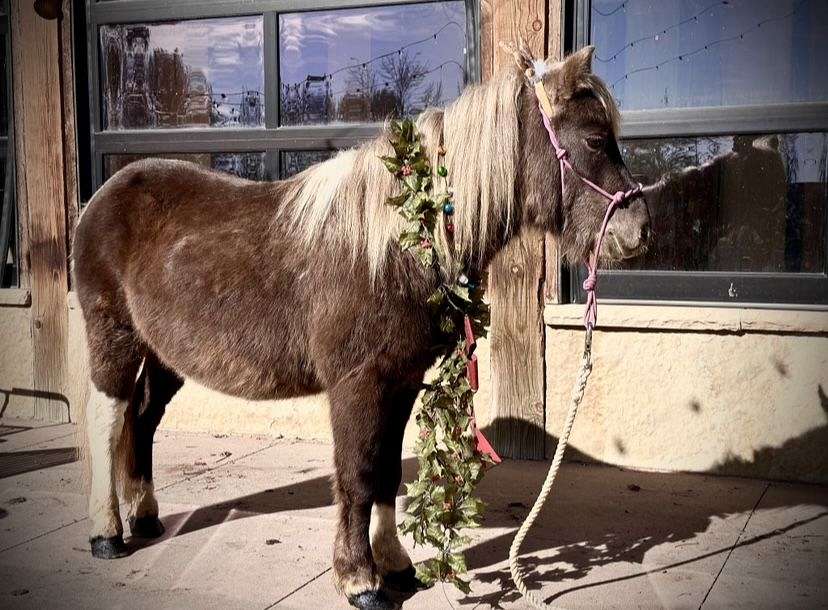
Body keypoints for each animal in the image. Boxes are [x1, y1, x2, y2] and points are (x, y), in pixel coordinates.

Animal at [73, 44, 650, 610]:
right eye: (595, 138)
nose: (640, 231)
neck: (395, 245)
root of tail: (104, 195)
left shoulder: (401, 381)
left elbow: (387, 472)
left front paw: (394, 564)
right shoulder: (357, 385)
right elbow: (357, 474)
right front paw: (359, 580)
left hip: (164, 354)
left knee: (142, 419)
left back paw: (145, 517)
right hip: (113, 337)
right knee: (107, 419)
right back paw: (106, 533)